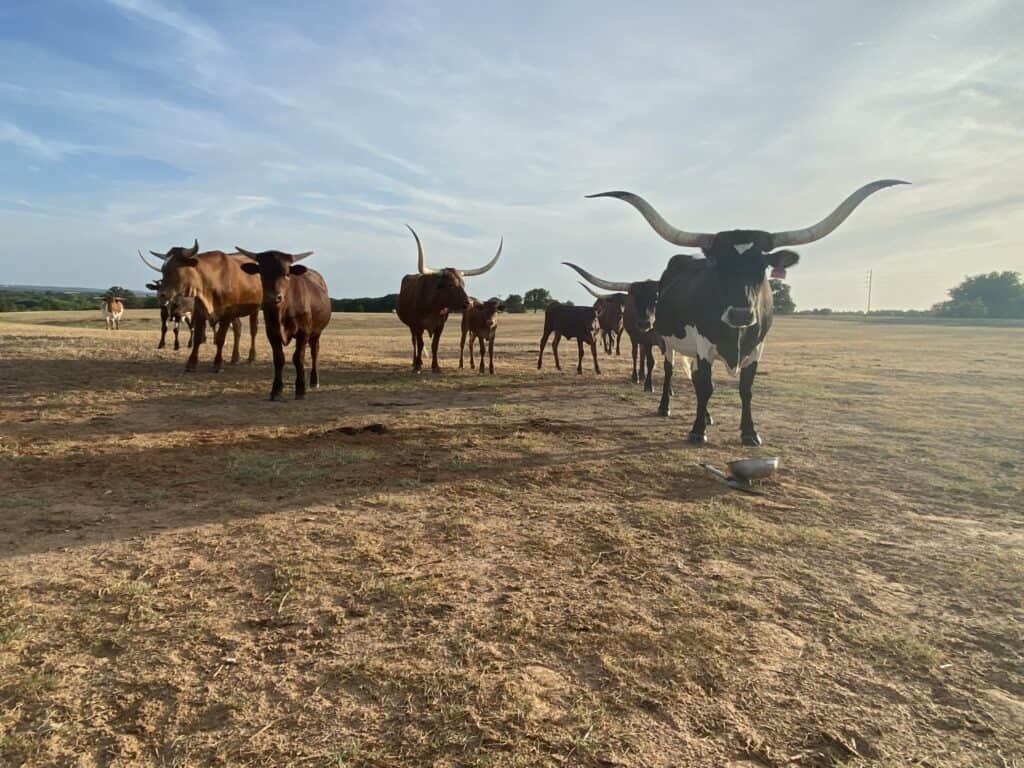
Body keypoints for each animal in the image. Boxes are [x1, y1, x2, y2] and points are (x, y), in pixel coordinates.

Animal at [139, 242, 261, 372]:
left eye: (175, 269)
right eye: (163, 270)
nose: (161, 295)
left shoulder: (227, 314)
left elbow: (220, 338)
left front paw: (217, 363)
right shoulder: (199, 311)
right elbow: (197, 337)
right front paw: (191, 363)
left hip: (255, 309)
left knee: (253, 331)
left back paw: (251, 356)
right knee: (237, 329)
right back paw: (234, 357)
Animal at [236, 248, 331, 401]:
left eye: (287, 274)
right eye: (261, 272)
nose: (273, 297)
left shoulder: (303, 331)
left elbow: (298, 358)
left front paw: (300, 389)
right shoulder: (272, 332)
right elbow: (278, 359)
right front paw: (276, 390)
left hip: (317, 332)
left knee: (315, 351)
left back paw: (314, 381)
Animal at [395, 226, 502, 373]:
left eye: (463, 284)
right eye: (451, 285)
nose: (469, 303)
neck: (433, 306)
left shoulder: (440, 326)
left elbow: (435, 345)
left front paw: (436, 367)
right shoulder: (417, 325)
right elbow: (421, 343)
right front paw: (417, 366)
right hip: (411, 326)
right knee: (414, 342)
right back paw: (416, 361)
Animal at [587, 179, 907, 445]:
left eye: (762, 266)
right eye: (717, 265)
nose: (740, 314)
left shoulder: (758, 348)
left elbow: (745, 389)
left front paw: (748, 432)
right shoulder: (702, 345)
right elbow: (706, 386)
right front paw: (697, 431)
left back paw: (707, 415)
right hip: (668, 341)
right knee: (669, 370)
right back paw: (667, 406)